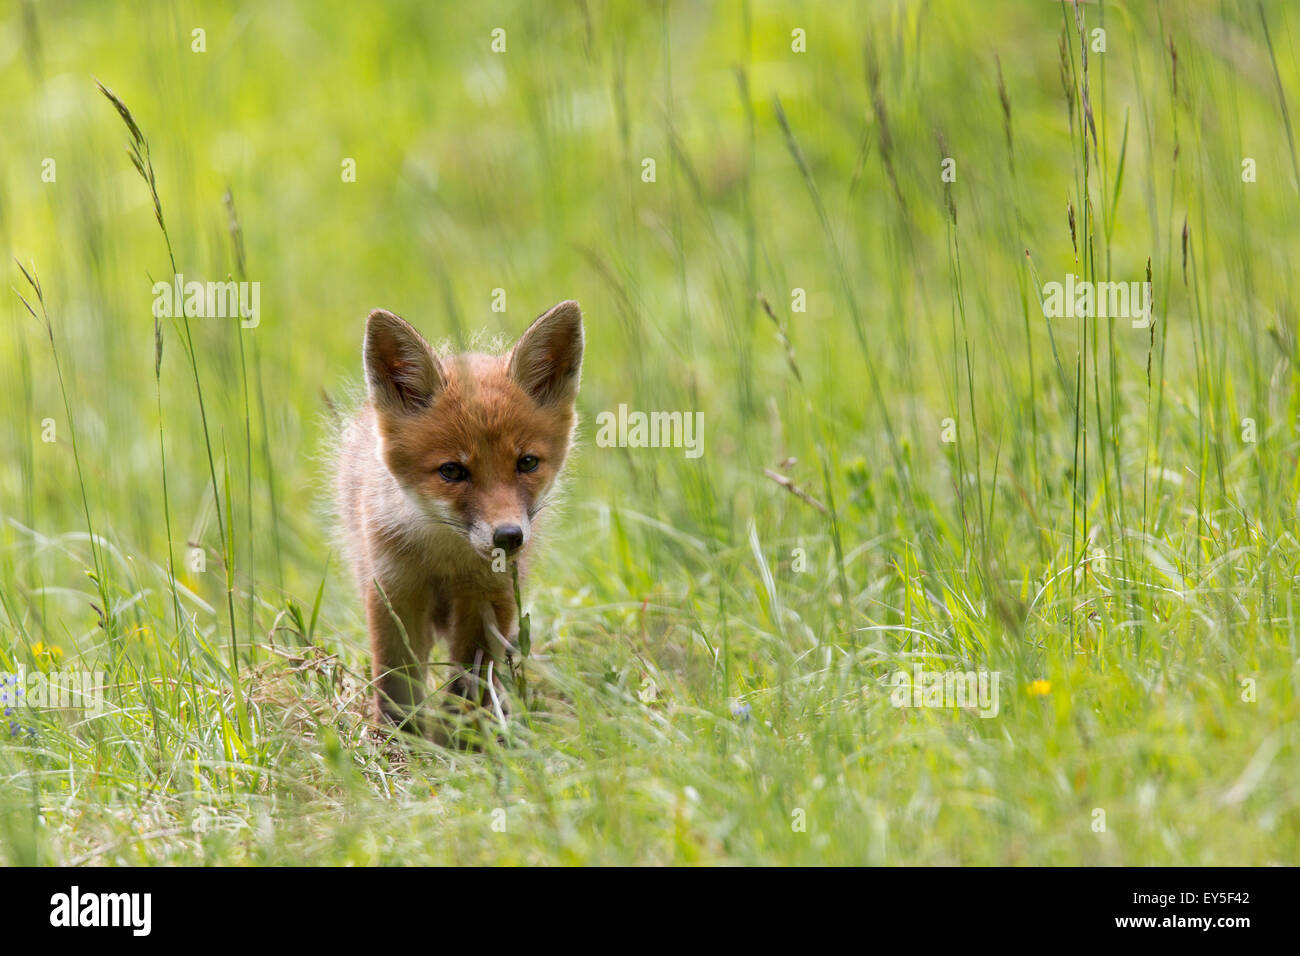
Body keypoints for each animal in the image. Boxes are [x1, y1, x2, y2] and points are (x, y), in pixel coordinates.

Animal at [336, 300, 584, 739]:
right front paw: (399, 741)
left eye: (527, 463)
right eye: (452, 471)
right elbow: (396, 681)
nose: (509, 536)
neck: (447, 557)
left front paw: (466, 743)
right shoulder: (393, 590)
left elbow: (472, 684)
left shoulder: (490, 597)